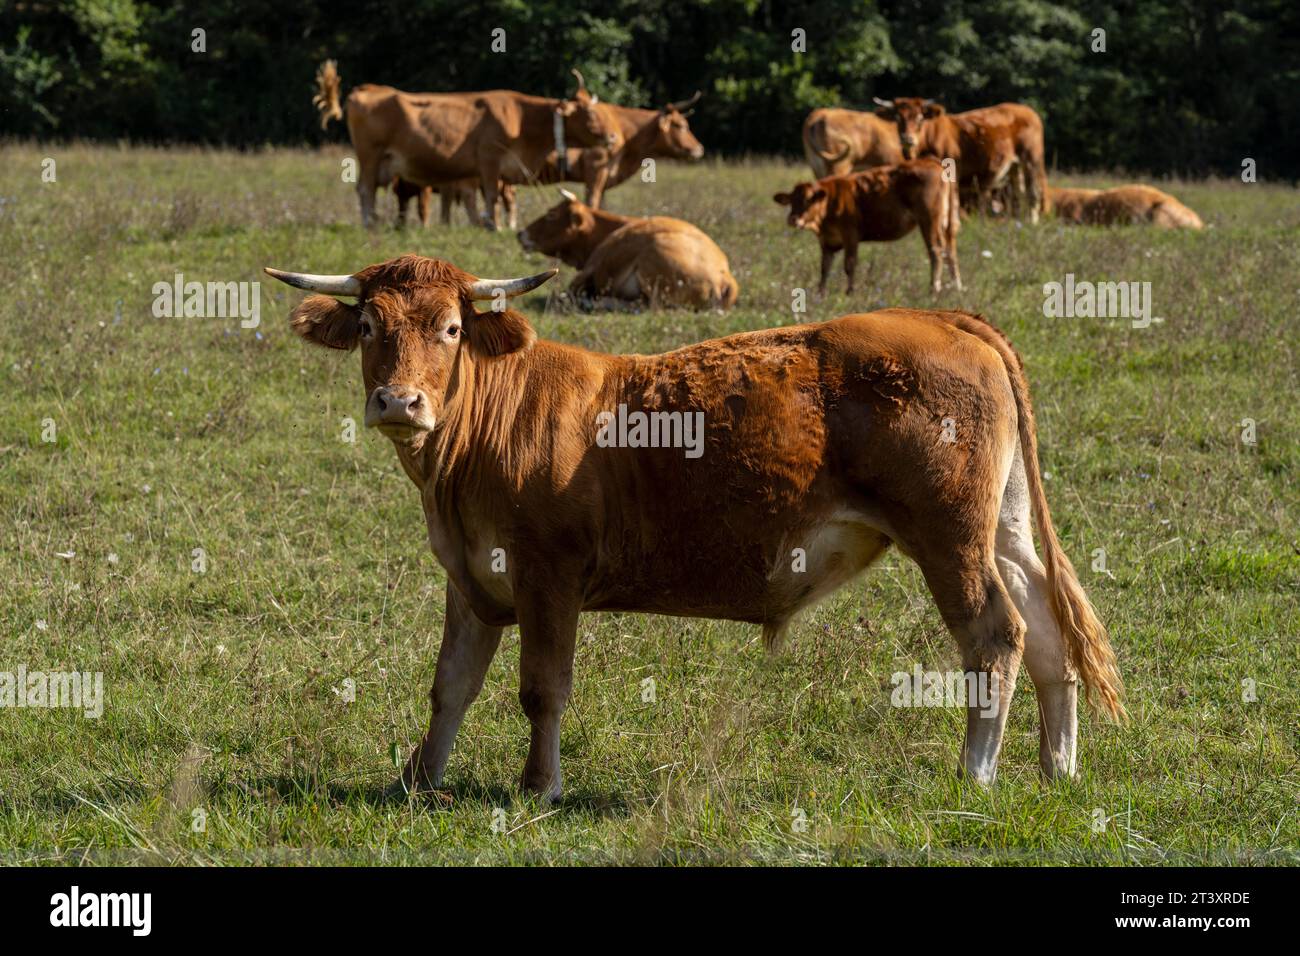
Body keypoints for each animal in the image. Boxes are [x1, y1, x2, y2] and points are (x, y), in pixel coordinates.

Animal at [265, 253, 1123, 802]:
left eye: (449, 328)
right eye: (369, 326)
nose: (399, 402)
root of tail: (944, 316)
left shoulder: (549, 576)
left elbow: (542, 689)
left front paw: (538, 786)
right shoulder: (470, 577)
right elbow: (450, 685)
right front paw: (417, 780)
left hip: (949, 537)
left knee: (995, 634)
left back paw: (976, 774)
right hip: (1004, 530)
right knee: (1049, 635)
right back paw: (1057, 770)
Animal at [313, 60, 619, 229]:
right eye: (589, 112)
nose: (613, 137)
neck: (523, 118)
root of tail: (368, 87)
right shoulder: (489, 160)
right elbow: (492, 197)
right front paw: (494, 226)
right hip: (370, 156)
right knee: (365, 189)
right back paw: (369, 223)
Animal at [518, 188, 738, 309]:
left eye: (551, 214)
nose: (520, 233)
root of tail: (725, 276)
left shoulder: (589, 270)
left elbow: (566, 294)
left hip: (652, 262)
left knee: (648, 307)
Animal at [775, 158, 962, 295]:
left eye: (808, 200)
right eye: (791, 201)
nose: (793, 219)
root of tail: (932, 161)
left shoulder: (850, 235)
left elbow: (849, 265)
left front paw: (849, 292)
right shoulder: (826, 241)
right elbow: (824, 268)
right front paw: (820, 293)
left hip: (929, 220)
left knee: (936, 252)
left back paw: (934, 289)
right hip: (946, 223)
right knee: (950, 252)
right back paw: (957, 286)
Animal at [873, 97, 1048, 223]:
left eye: (920, 118)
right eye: (897, 118)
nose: (907, 139)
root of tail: (1028, 111)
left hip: (1031, 160)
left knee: (1033, 193)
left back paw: (1031, 222)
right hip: (1014, 168)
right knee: (1017, 195)